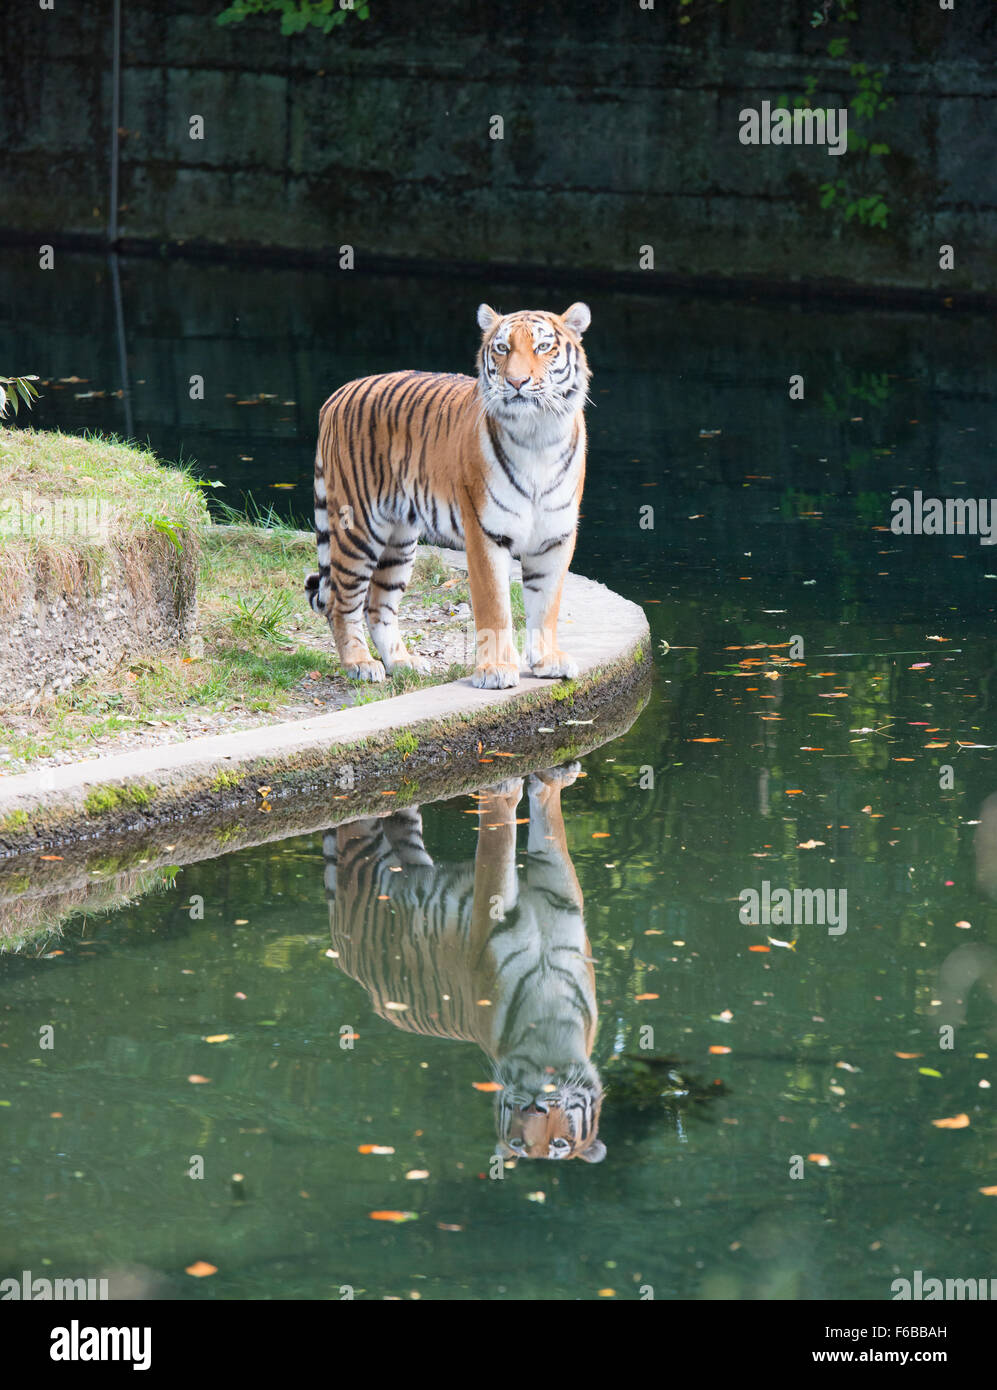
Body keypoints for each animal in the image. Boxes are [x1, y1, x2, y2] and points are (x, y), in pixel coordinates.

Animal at [305, 302, 592, 689]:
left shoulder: (555, 536)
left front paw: (548, 661)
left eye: (543, 347)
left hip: (400, 540)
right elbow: (494, 606)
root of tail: (337, 394)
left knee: (378, 604)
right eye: (502, 349)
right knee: (342, 602)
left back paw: (403, 662)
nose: (516, 382)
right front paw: (495, 670)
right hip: (358, 527)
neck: (538, 436)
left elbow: (546, 604)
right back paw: (360, 664)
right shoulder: (486, 532)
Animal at [322, 764, 606, 1163]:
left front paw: (550, 780)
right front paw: (504, 788)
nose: (532, 1108)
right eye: (517, 1142)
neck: (547, 1038)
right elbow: (497, 849)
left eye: (558, 1145)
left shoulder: (559, 895)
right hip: (363, 851)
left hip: (405, 837)